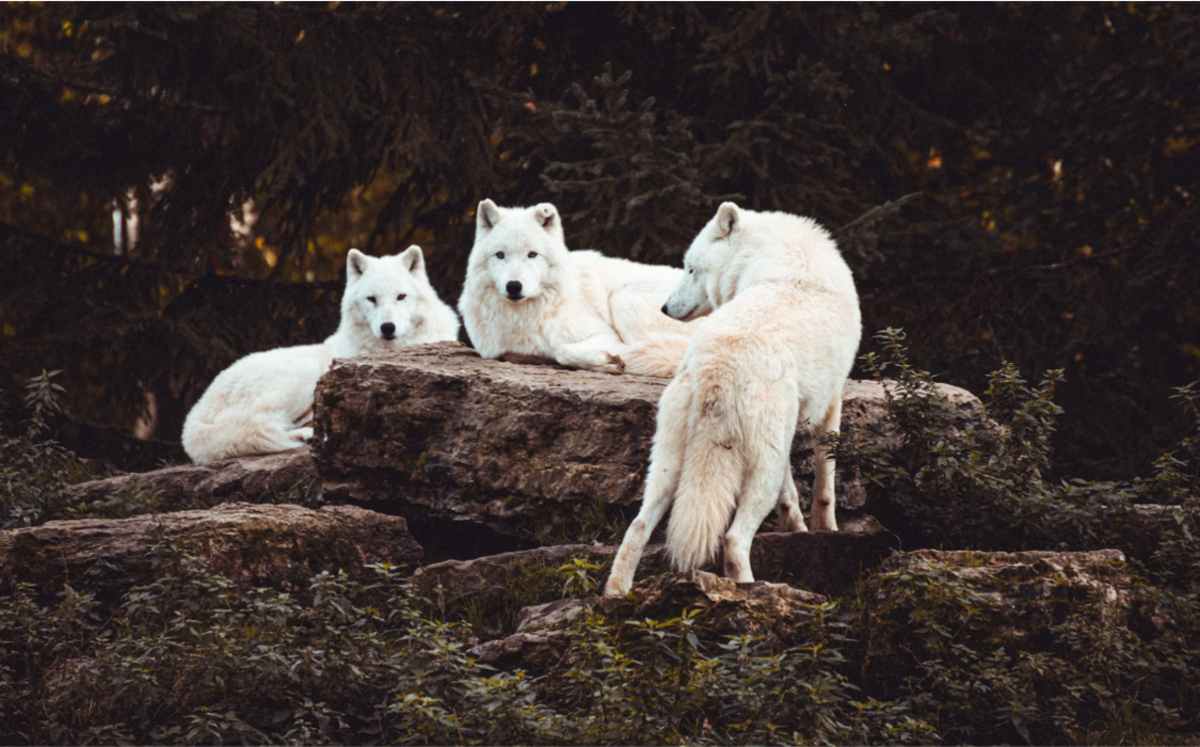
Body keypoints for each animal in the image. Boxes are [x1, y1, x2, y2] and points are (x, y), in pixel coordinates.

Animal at [182, 246, 460, 463]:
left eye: (401, 297)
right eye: (372, 299)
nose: (387, 327)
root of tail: (192, 422)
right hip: (302, 379)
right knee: (266, 426)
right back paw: (306, 436)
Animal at [458, 199, 696, 377]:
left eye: (532, 254)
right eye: (500, 255)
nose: (514, 286)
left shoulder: (604, 334)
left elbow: (560, 350)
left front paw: (608, 360)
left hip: (624, 299)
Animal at [604, 203, 862, 596]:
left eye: (690, 269)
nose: (665, 308)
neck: (772, 256)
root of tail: (719, 367)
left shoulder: (786, 430)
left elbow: (791, 490)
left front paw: (796, 527)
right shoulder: (830, 402)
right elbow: (824, 483)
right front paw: (824, 528)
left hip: (667, 464)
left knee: (637, 526)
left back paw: (614, 594)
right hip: (759, 472)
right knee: (733, 539)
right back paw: (750, 589)